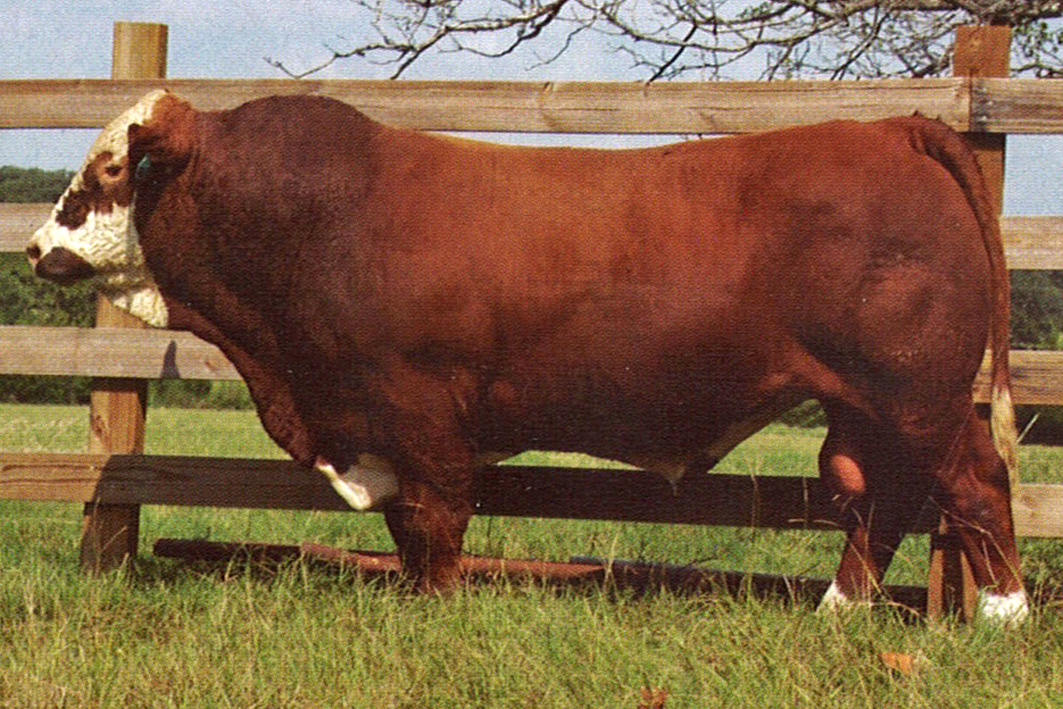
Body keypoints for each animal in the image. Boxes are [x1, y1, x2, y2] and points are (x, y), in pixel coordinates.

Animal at [26, 89, 1028, 624]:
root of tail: (889, 127)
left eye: (111, 169)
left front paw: (435, 609)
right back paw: (835, 612)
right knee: (879, 495)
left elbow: (435, 519)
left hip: (920, 395)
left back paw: (1003, 615)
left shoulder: (419, 409)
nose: (37, 246)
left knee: (974, 484)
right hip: (867, 407)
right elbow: (409, 528)